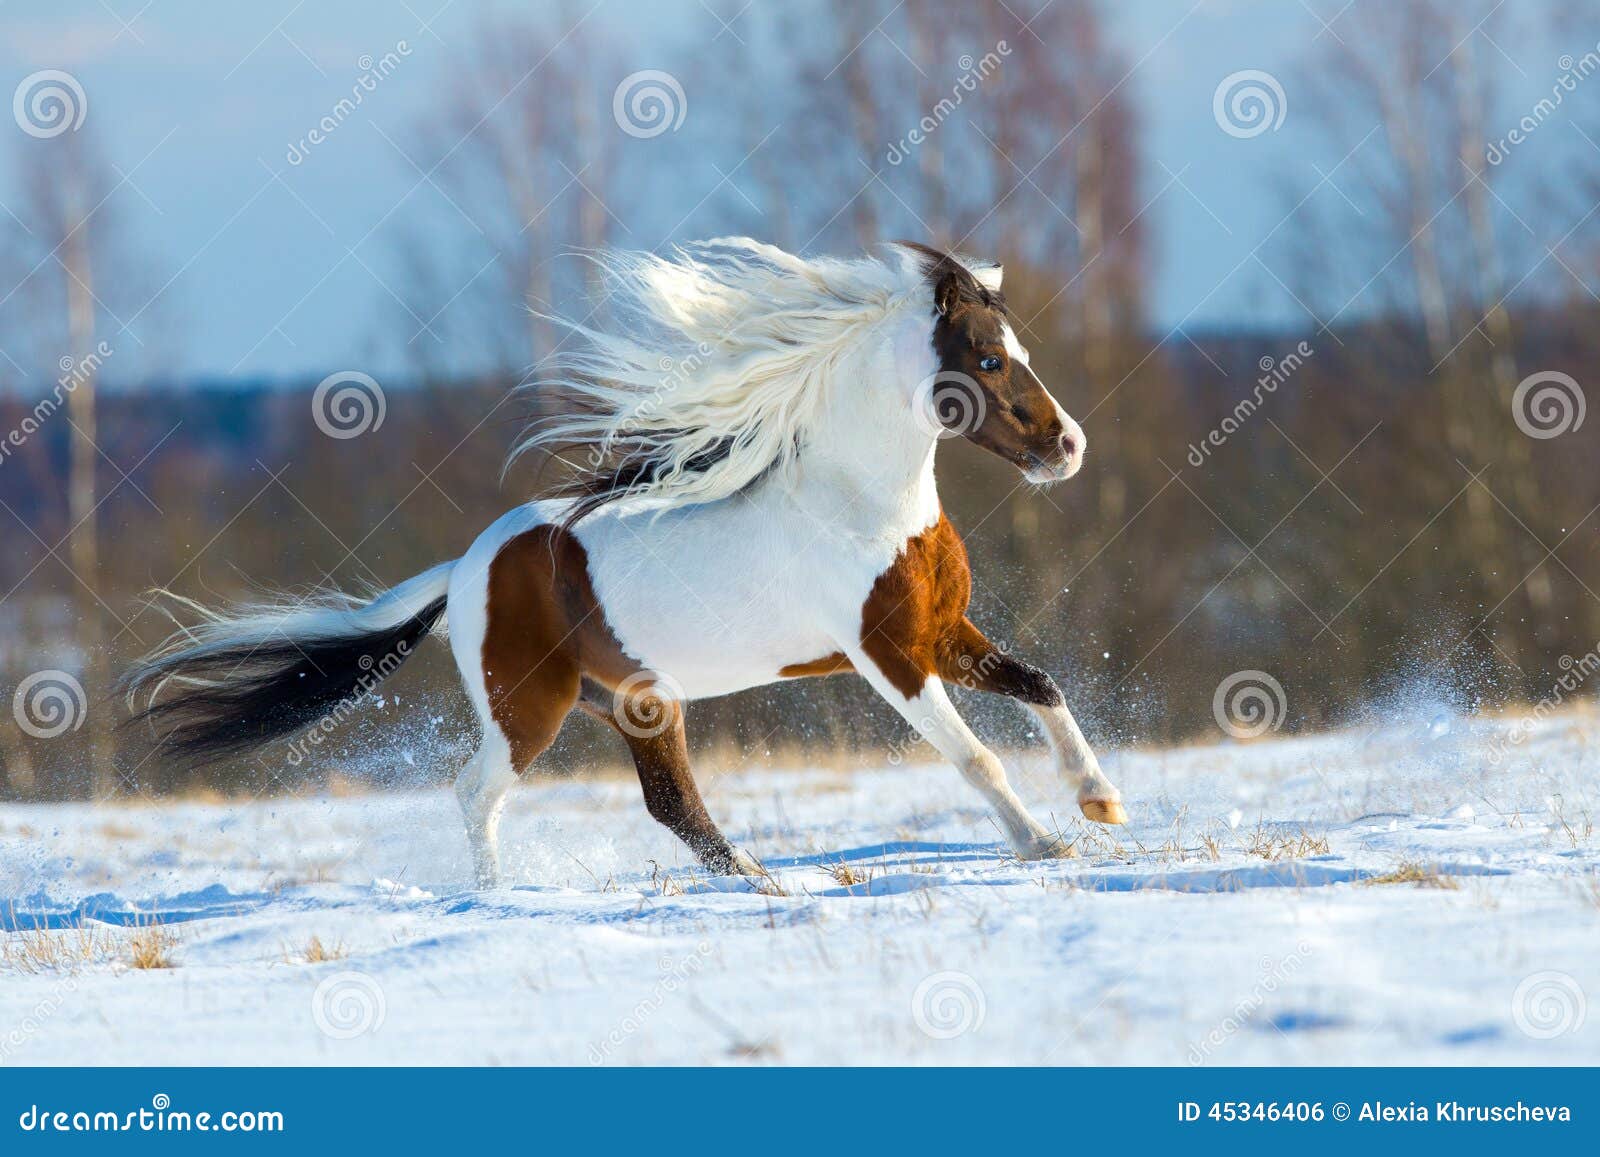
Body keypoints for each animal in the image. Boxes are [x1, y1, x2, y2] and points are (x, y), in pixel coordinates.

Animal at [123, 238, 1127, 887]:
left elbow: (1041, 687)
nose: (1069, 447)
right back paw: (495, 897)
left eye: (1019, 351)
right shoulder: (887, 655)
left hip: (643, 702)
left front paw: (1102, 801)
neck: (862, 502)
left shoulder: (943, 631)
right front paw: (1044, 845)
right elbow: (975, 757)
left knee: (671, 803)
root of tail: (465, 567)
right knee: (476, 791)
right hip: (530, 708)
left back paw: (756, 875)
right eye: (988, 359)